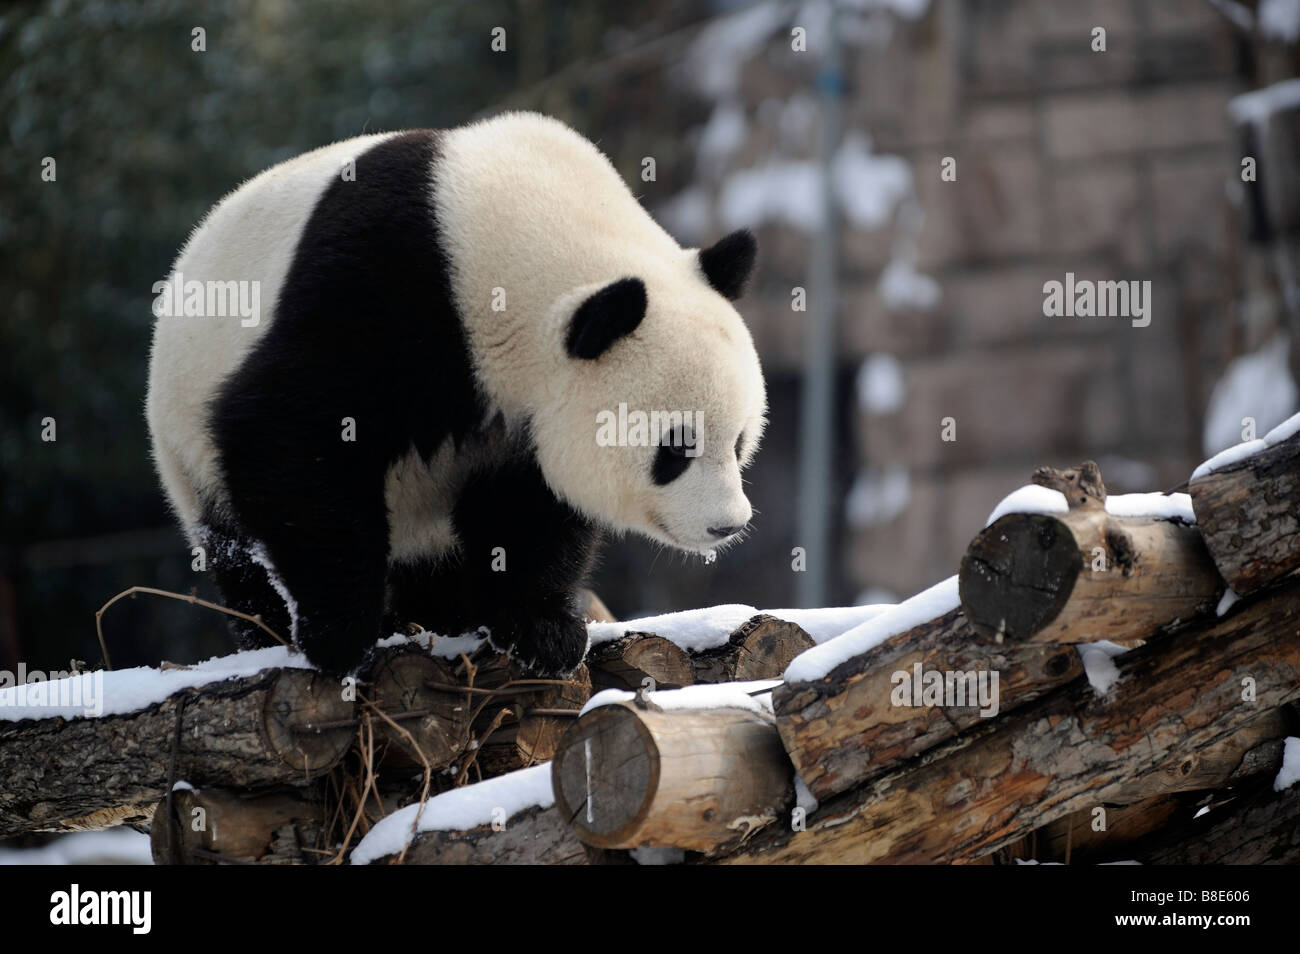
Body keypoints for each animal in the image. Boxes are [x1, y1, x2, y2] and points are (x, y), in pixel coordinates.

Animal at [146, 111, 766, 677]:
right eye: (675, 448)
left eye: (738, 443)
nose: (727, 525)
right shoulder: (380, 281)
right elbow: (292, 432)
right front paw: (339, 635)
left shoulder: (519, 415)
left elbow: (528, 509)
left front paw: (542, 632)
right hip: (185, 439)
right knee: (235, 545)